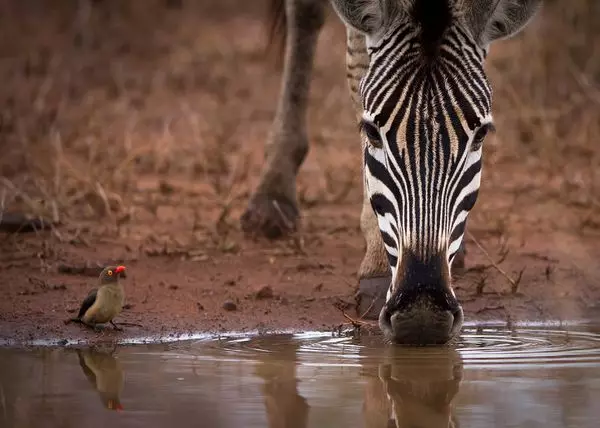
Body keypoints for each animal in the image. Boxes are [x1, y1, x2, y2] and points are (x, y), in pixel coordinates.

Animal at [240, 0, 544, 344]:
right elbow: (358, 66)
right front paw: (377, 267)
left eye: (481, 135)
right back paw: (273, 195)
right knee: (306, 14)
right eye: (371, 131)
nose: (423, 314)